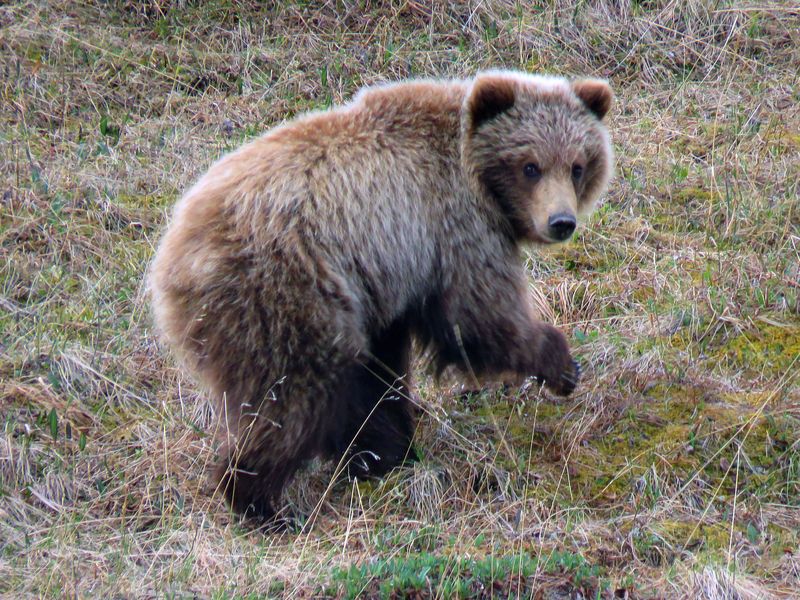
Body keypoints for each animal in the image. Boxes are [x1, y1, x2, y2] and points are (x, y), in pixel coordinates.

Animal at [148, 70, 614, 523]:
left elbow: (383, 368)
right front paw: (560, 363)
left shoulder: (387, 281)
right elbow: (477, 318)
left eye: (577, 166)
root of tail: (172, 257)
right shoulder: (452, 226)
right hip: (284, 292)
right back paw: (259, 501)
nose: (561, 221)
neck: (479, 182)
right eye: (530, 166)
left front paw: (386, 451)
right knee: (291, 396)